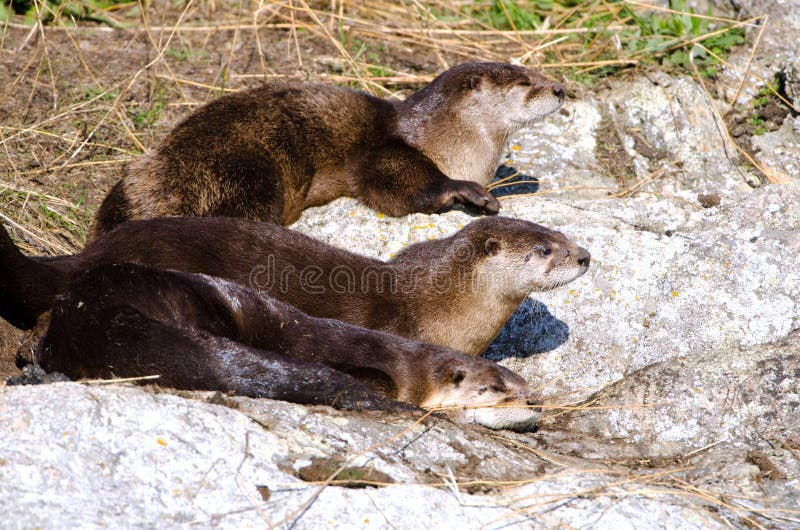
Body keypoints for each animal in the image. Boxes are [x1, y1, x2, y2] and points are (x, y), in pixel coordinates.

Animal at [90, 62, 565, 236]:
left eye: (536, 71)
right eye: (526, 81)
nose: (561, 88)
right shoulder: (383, 152)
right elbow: (390, 184)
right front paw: (465, 193)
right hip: (244, 171)